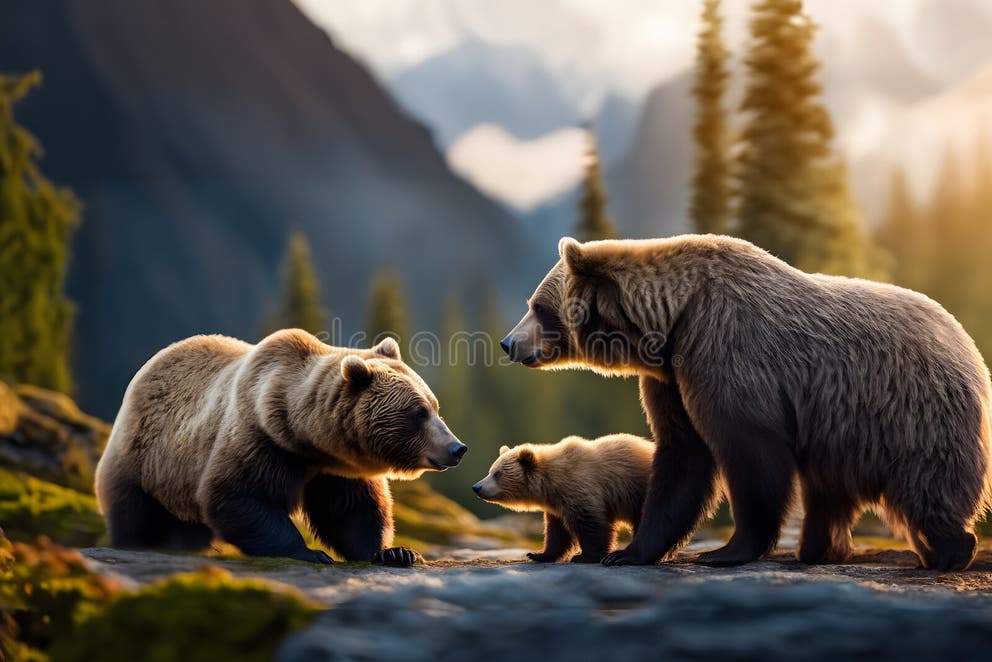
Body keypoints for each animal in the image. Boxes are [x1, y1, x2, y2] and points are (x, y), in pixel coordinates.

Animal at [94, 329, 467, 566]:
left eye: (436, 407)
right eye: (418, 412)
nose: (457, 448)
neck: (308, 438)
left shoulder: (338, 469)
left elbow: (354, 510)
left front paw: (395, 553)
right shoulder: (262, 441)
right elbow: (238, 495)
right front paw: (309, 552)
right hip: (146, 456)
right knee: (134, 508)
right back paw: (140, 541)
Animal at [472, 434, 655, 563]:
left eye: (497, 474)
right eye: (490, 470)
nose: (476, 487)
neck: (551, 483)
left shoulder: (581, 488)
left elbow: (591, 525)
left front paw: (585, 556)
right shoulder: (557, 505)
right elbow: (557, 533)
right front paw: (537, 554)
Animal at [501, 235, 992, 570]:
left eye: (537, 306)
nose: (508, 343)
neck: (674, 321)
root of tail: (968, 345)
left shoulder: (728, 350)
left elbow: (749, 453)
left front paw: (724, 550)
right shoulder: (673, 376)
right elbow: (682, 457)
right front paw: (629, 552)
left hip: (907, 410)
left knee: (926, 483)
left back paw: (947, 551)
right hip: (840, 432)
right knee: (829, 492)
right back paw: (818, 549)